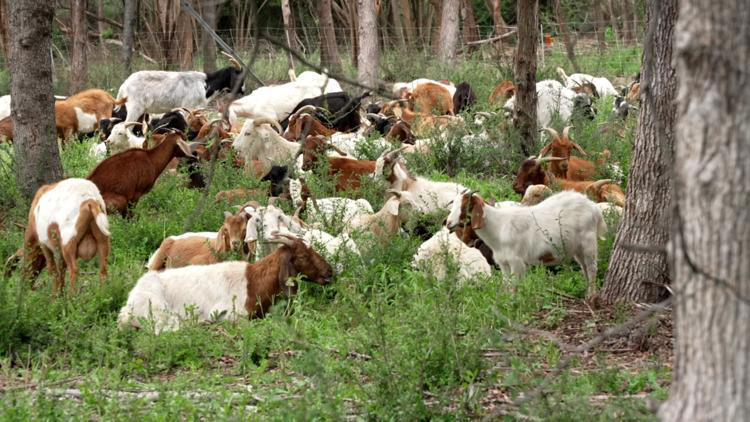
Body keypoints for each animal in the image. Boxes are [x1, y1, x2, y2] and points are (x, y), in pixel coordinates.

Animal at [118, 232, 332, 333]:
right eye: (303, 255)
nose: (330, 271)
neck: (253, 281)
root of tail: (129, 305)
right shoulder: (232, 315)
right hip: (159, 310)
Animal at [446, 190, 606, 296]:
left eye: (466, 206)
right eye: (453, 204)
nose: (448, 223)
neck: (499, 227)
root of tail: (593, 207)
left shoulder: (517, 262)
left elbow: (514, 286)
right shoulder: (503, 263)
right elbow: (506, 284)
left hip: (589, 243)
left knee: (592, 268)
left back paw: (591, 295)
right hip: (577, 248)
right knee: (584, 267)